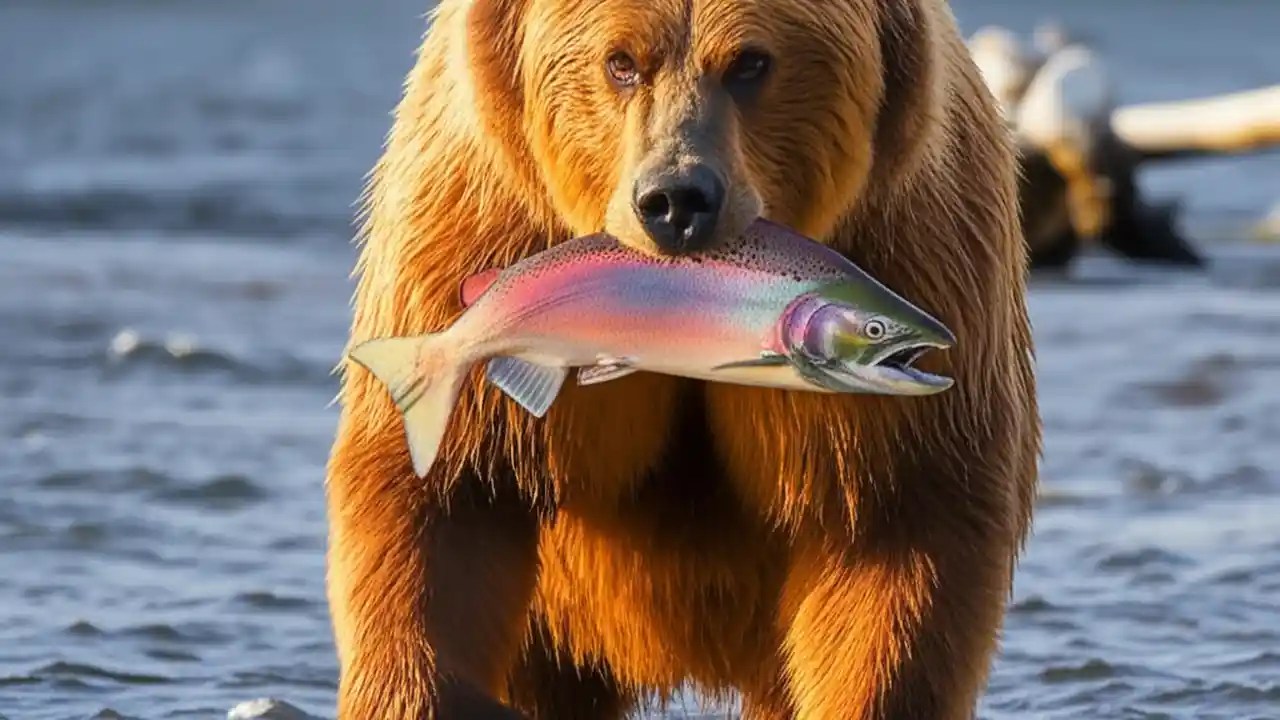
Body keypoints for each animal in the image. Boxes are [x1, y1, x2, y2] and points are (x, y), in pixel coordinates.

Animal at [324, 0, 1041, 718]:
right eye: (621, 63)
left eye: (750, 62)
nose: (676, 201)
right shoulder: (476, 227)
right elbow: (447, 502)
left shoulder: (913, 250)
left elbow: (894, 534)